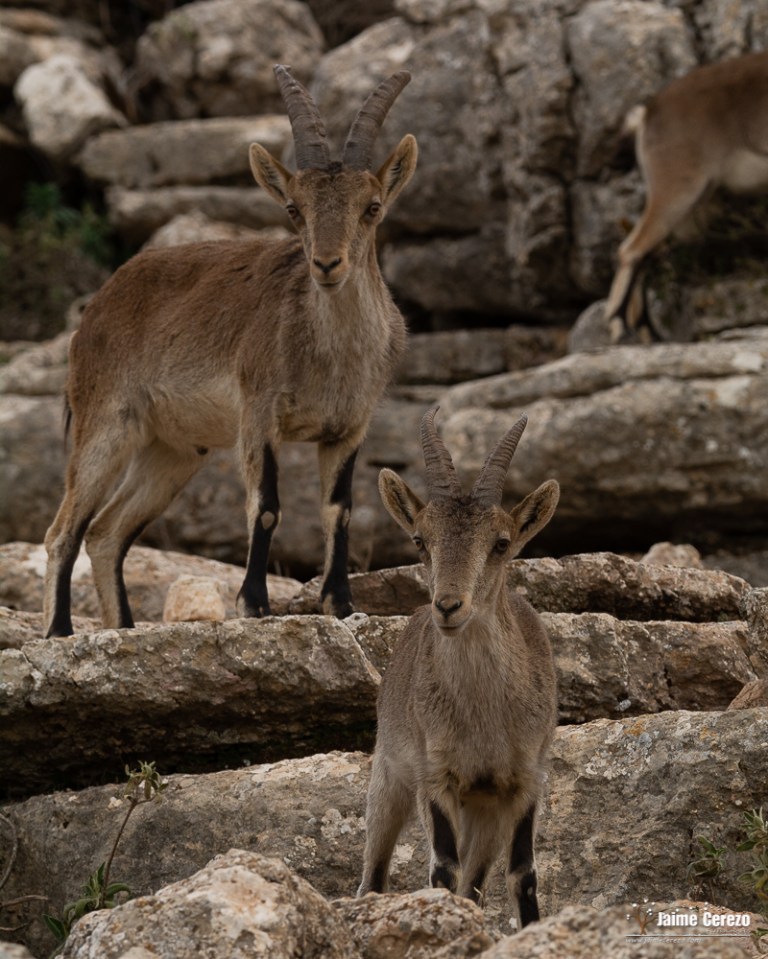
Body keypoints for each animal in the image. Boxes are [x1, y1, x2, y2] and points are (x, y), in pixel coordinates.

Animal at [43, 65, 417, 637]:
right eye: (294, 209)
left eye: (372, 207)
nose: (327, 264)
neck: (330, 358)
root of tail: (94, 310)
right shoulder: (259, 414)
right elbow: (265, 507)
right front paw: (254, 605)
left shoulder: (349, 428)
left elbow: (340, 510)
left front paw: (341, 605)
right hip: (105, 420)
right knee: (63, 529)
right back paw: (60, 631)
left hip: (172, 451)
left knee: (106, 532)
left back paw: (122, 629)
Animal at [358, 407, 559, 929]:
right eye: (420, 540)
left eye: (502, 543)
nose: (448, 606)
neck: (484, 716)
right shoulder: (435, 776)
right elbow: (441, 870)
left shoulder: (526, 778)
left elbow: (522, 873)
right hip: (389, 781)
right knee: (374, 875)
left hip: (484, 812)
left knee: (475, 882)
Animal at [604, 50, 768, 342]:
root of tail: (649, 113)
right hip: (677, 190)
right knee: (631, 250)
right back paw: (619, 324)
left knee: (649, 254)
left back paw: (647, 332)